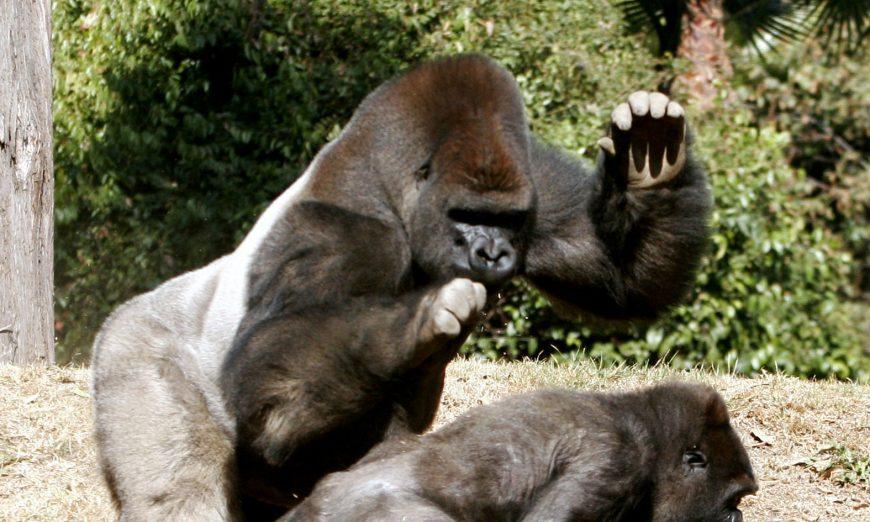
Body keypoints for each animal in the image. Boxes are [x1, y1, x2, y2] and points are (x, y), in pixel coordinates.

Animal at [90, 54, 711, 519]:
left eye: (506, 221)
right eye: (466, 215)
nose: (492, 253)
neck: (392, 190)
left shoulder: (531, 180)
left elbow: (616, 274)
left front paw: (646, 169)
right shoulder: (338, 240)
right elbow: (273, 401)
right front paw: (411, 324)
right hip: (134, 350)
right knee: (178, 489)